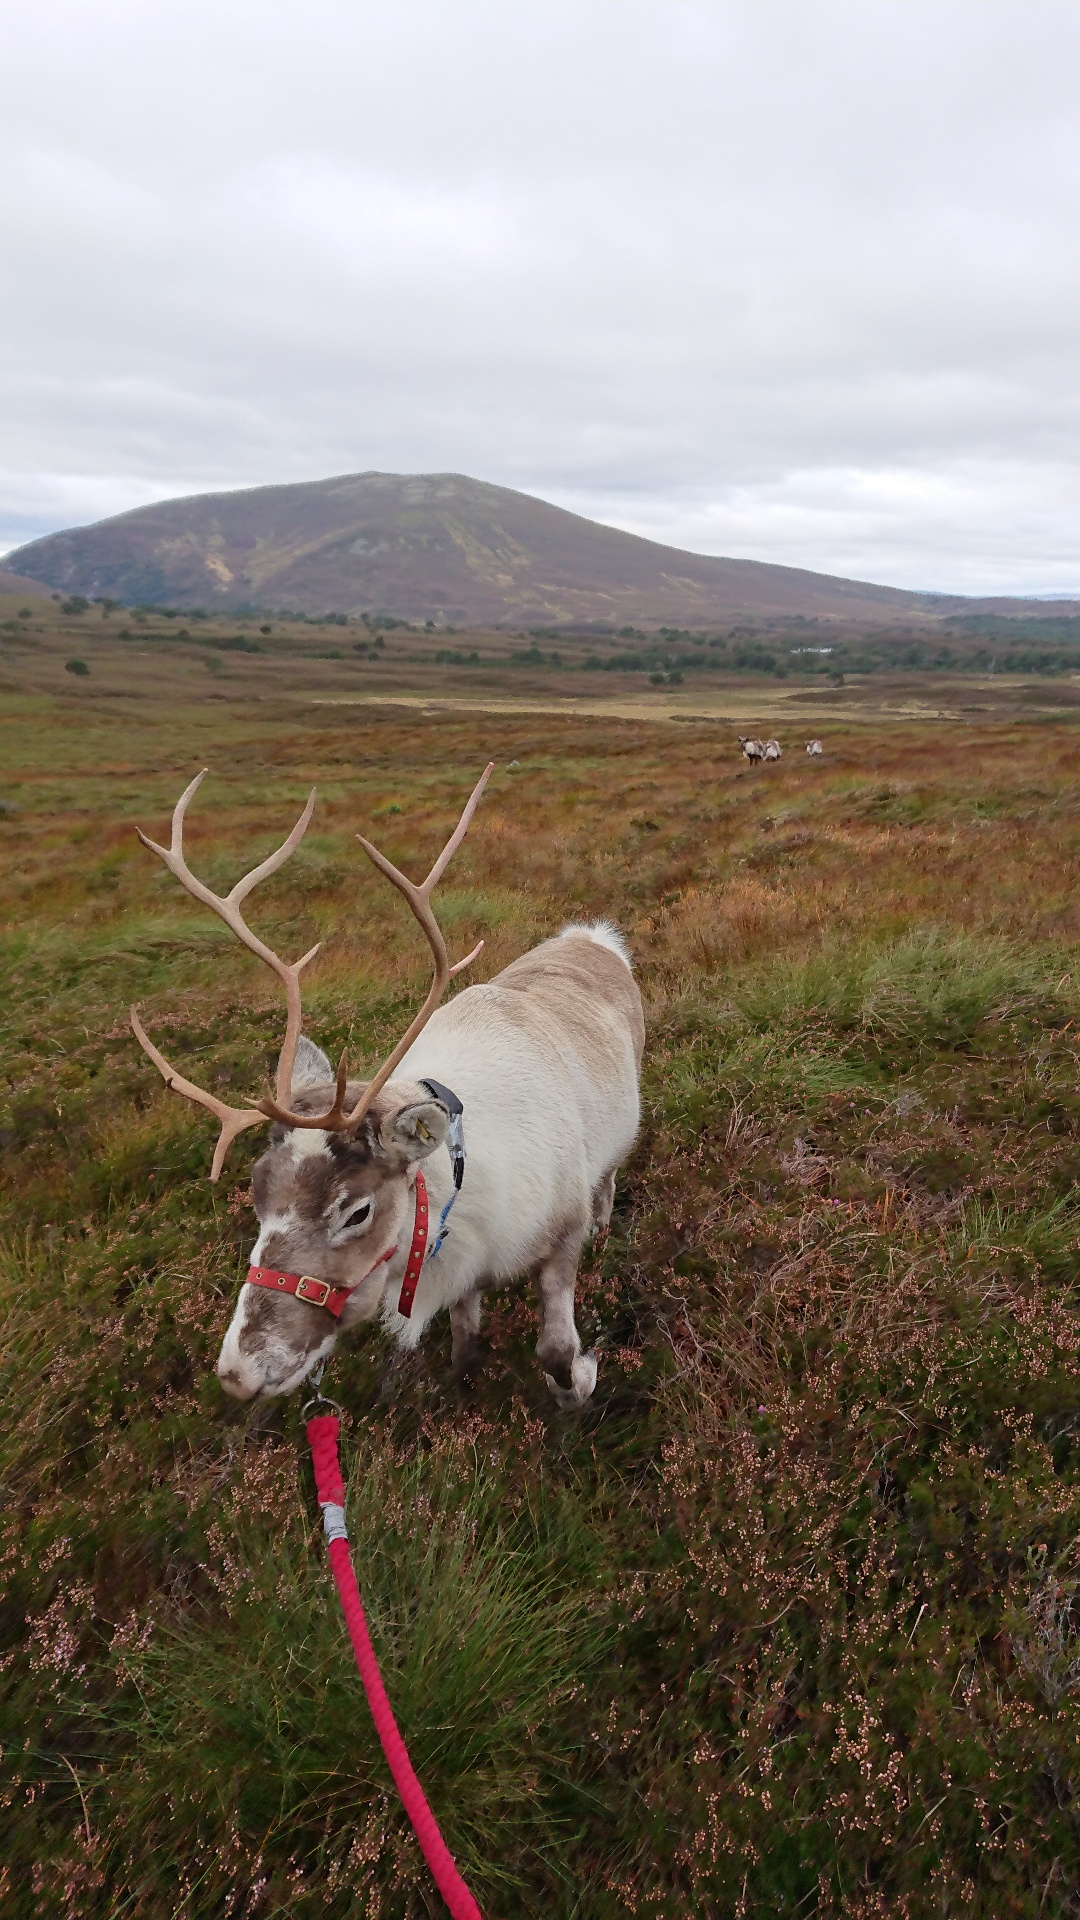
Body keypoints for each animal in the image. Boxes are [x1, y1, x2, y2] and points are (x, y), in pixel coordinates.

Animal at [129, 766, 644, 1412]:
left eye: (357, 1211)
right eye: (256, 1193)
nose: (237, 1374)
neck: (455, 1184)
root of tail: (594, 936)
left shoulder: (559, 1233)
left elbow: (555, 1352)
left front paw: (586, 1375)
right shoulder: (461, 1273)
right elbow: (465, 1340)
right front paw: (460, 1382)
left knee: (610, 1171)